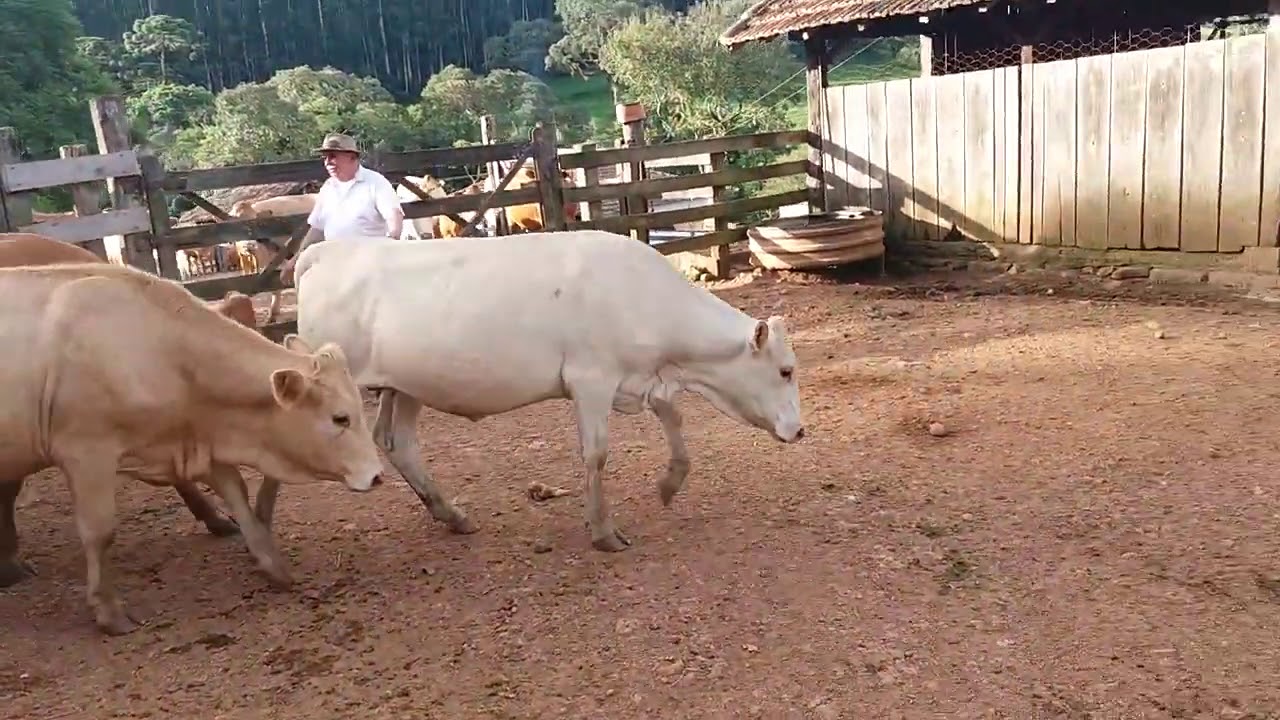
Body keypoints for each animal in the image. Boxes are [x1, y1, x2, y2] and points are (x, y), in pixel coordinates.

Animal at [0, 260, 383, 634]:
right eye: (340, 418)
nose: (377, 476)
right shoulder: (88, 454)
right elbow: (99, 532)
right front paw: (108, 611)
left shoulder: (197, 439)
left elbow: (237, 494)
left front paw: (271, 563)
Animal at [277, 230, 803, 553]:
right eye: (785, 371)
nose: (800, 431)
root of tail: (327, 252)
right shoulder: (591, 379)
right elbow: (596, 454)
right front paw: (603, 531)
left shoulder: (642, 379)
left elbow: (673, 418)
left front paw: (669, 484)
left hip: (405, 385)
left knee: (397, 442)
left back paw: (451, 514)